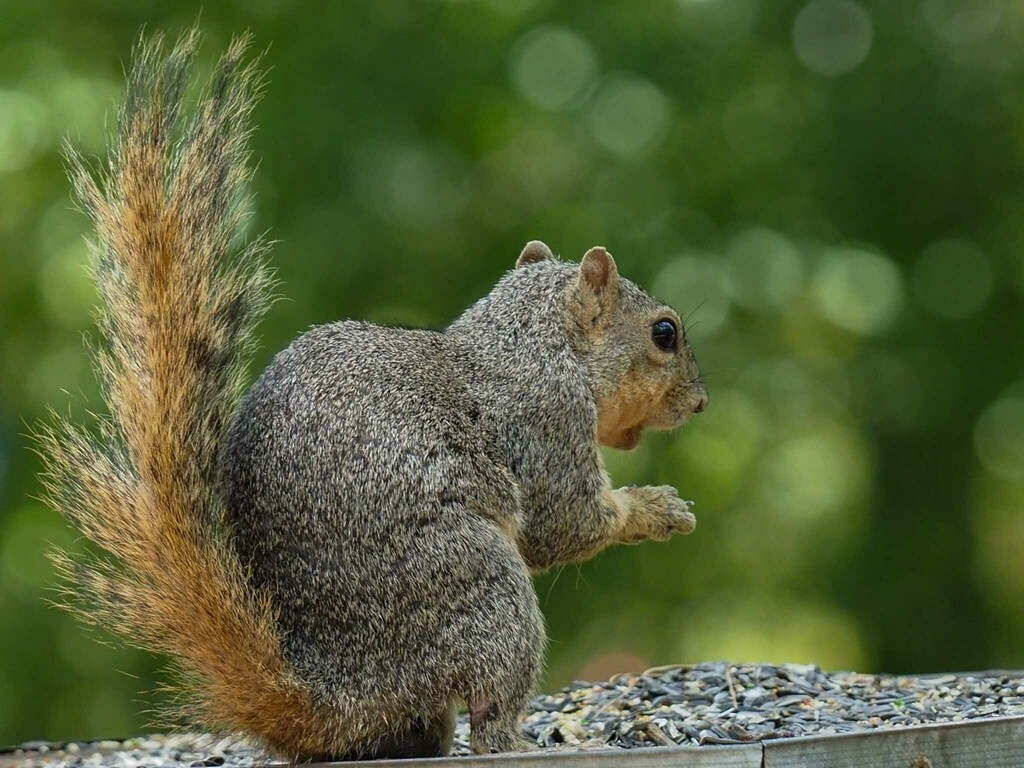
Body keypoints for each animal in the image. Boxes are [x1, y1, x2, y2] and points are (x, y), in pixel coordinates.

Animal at [37, 29, 708, 762]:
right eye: (665, 333)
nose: (700, 402)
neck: (530, 342)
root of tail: (335, 694)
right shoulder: (547, 424)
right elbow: (568, 524)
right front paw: (656, 508)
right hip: (478, 587)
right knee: (491, 712)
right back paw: (528, 740)